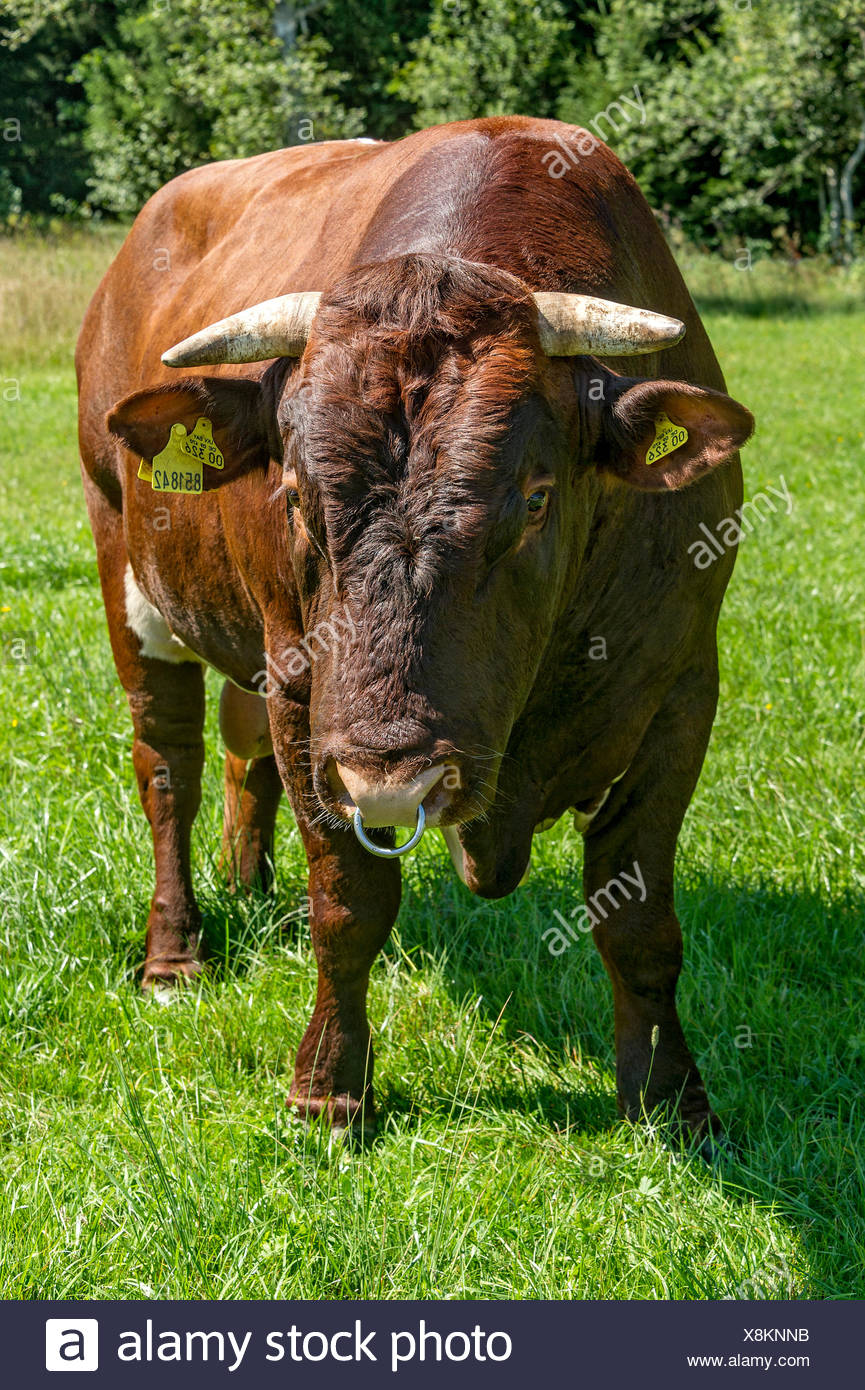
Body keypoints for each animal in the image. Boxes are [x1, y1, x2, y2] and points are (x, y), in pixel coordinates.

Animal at [77, 117, 753, 1147]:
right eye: (293, 495)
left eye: (534, 497)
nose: (392, 778)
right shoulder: (309, 696)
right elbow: (350, 902)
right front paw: (328, 1088)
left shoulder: (678, 686)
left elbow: (637, 916)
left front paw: (671, 1101)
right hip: (127, 565)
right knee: (168, 772)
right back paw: (174, 953)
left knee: (237, 754)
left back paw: (249, 886)